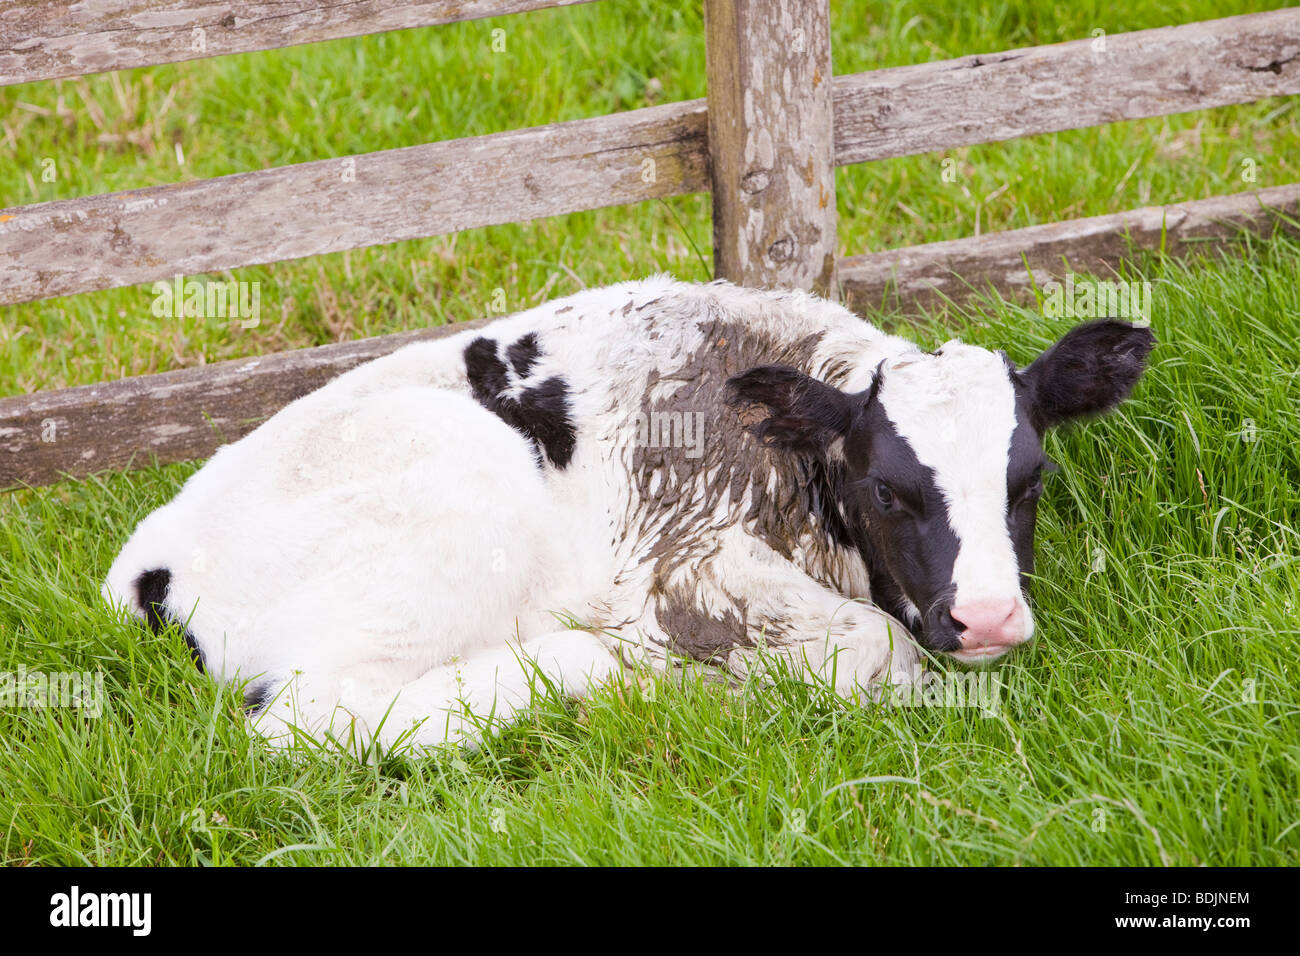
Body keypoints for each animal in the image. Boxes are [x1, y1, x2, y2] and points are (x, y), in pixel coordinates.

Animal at [102, 276, 1154, 750]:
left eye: (1029, 481)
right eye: (888, 490)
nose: (988, 618)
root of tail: (146, 567)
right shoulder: (680, 567)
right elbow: (877, 649)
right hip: (453, 497)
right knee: (309, 718)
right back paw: (591, 674)